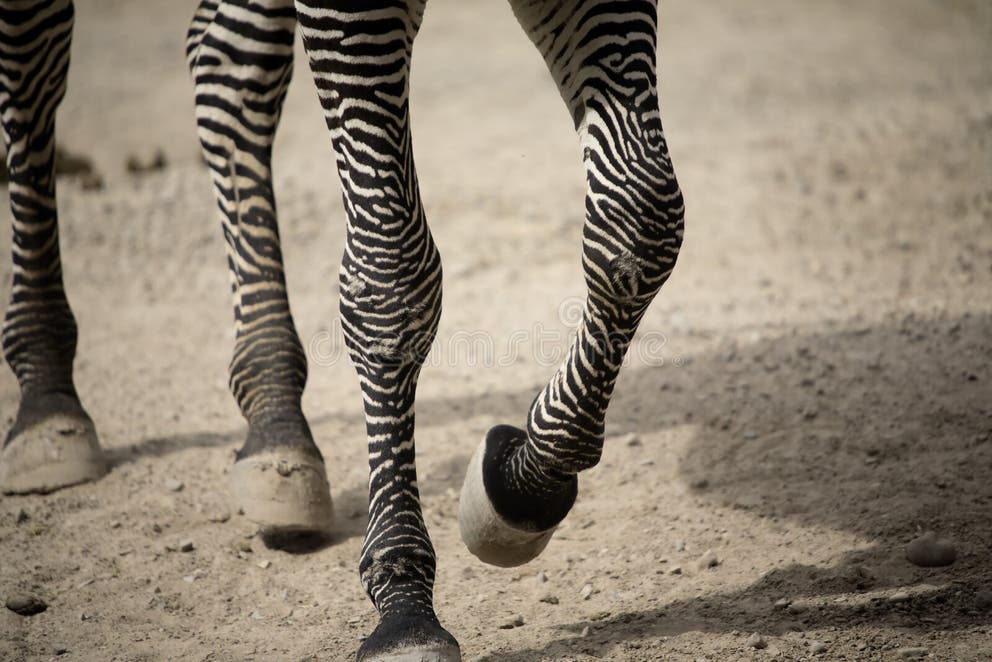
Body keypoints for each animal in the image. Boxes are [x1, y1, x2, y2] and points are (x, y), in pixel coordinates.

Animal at [0, 0, 684, 659]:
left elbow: (642, 220)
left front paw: (522, 483)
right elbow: (391, 271)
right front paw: (405, 607)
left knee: (228, 61)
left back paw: (276, 425)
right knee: (36, 66)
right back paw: (47, 398)